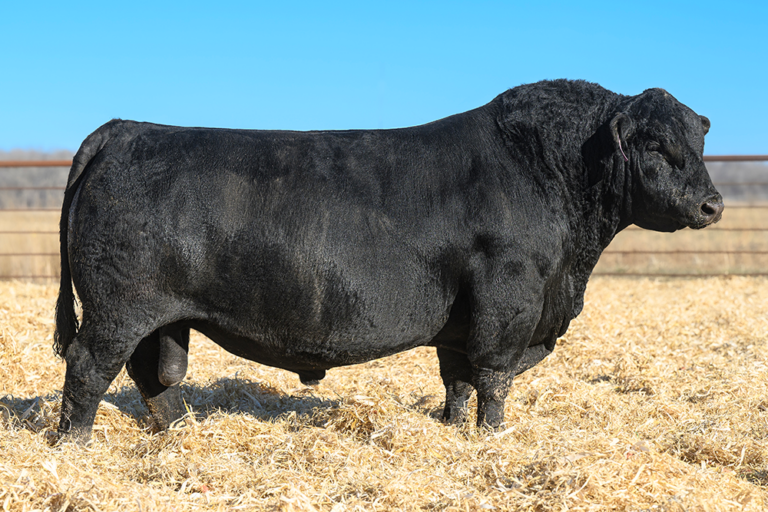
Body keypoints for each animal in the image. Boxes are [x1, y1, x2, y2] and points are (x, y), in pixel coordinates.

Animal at [53, 79, 723, 443]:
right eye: (656, 144)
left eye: (699, 140)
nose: (712, 204)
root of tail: (124, 128)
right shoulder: (508, 304)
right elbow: (494, 378)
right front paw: (494, 437)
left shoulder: (462, 322)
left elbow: (458, 379)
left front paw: (454, 430)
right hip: (119, 308)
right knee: (89, 368)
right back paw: (76, 445)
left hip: (157, 316)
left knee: (153, 376)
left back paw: (180, 434)